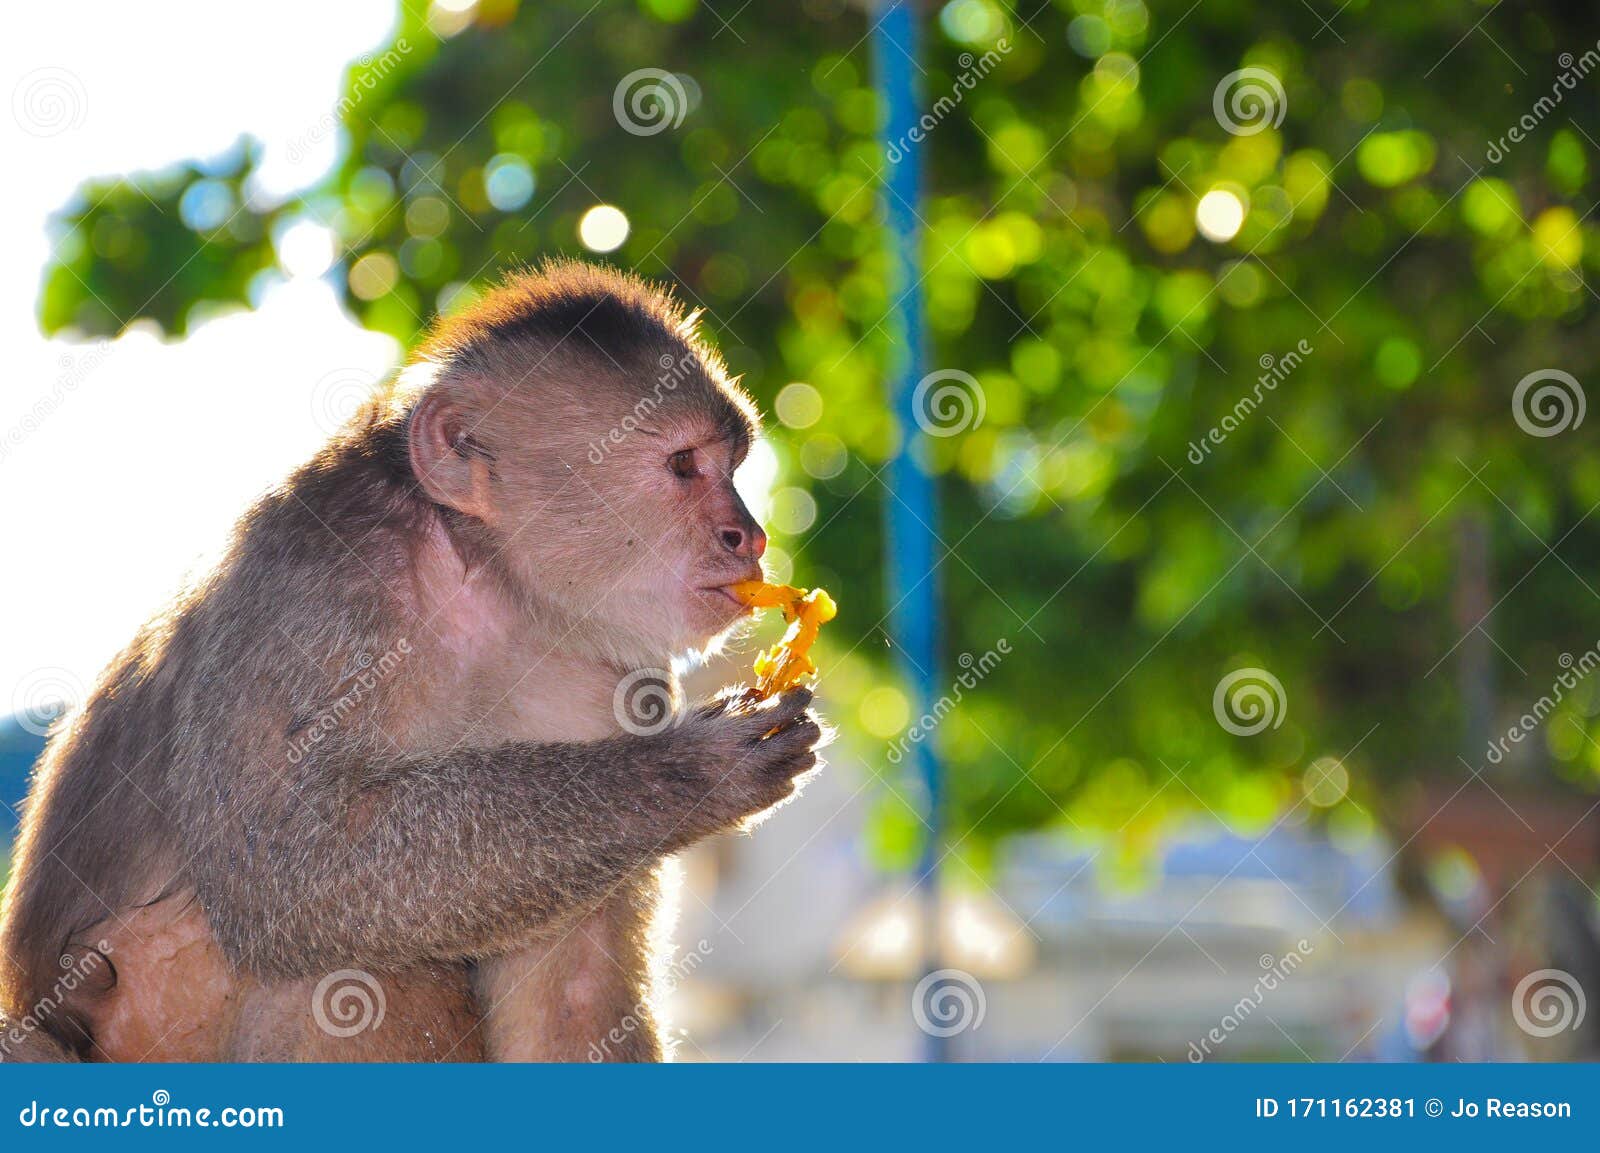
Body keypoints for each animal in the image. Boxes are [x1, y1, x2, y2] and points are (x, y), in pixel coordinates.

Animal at [0, 260, 824, 1062]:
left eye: (733, 467)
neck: (480, 581)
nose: (747, 535)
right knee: (337, 963)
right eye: (684, 465)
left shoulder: (608, 676)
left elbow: (575, 1001)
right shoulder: (313, 581)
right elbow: (278, 871)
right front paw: (686, 775)